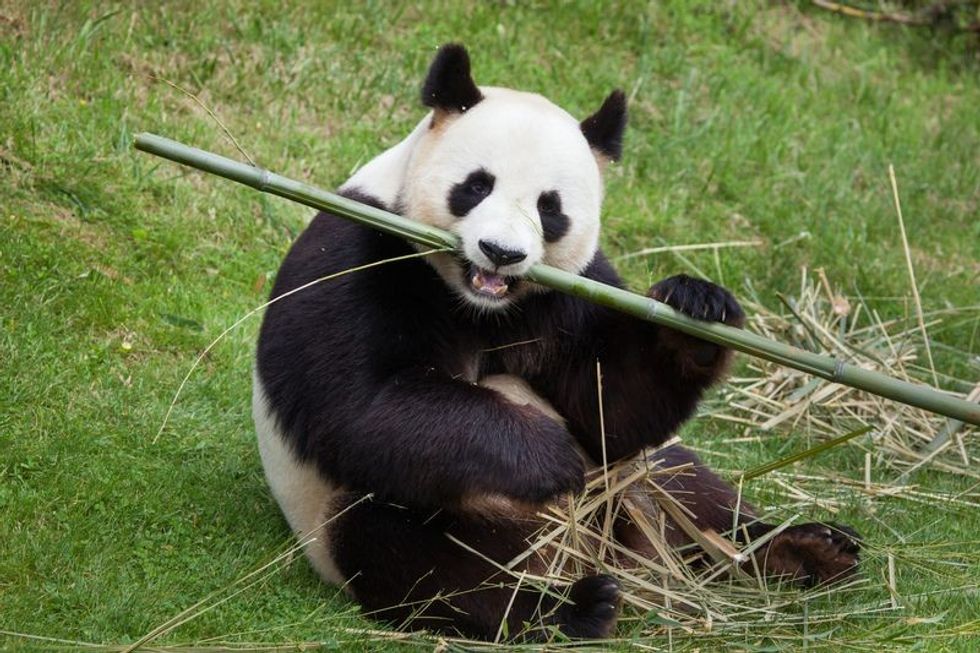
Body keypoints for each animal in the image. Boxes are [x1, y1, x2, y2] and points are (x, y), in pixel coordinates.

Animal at [253, 44, 861, 641]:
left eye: (551, 207)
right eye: (476, 185)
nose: (501, 252)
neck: (478, 302)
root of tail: (598, 556)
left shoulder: (573, 292)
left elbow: (611, 410)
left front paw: (694, 310)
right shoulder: (362, 250)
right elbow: (360, 405)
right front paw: (549, 456)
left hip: (638, 494)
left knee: (684, 483)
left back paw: (804, 549)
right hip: (367, 516)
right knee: (416, 558)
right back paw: (569, 608)